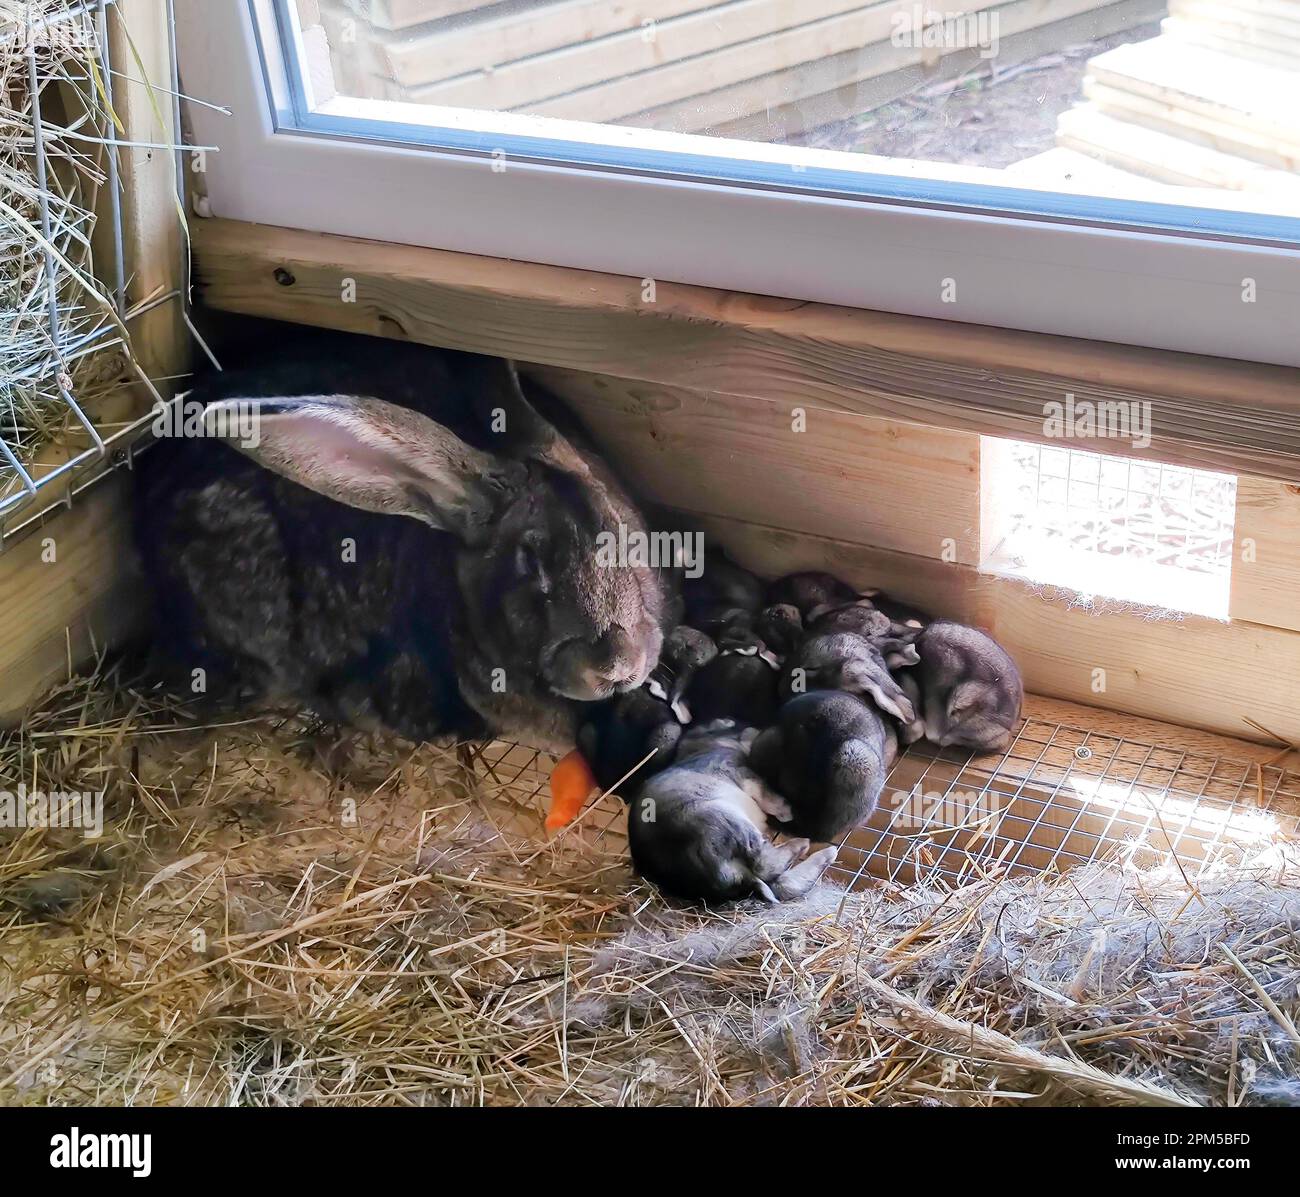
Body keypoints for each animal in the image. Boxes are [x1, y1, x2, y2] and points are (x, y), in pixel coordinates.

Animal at [626, 721, 837, 904]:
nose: (753, 729)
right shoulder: (741, 770)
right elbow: (766, 794)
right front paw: (787, 812)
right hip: (727, 820)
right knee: (766, 863)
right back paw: (809, 845)